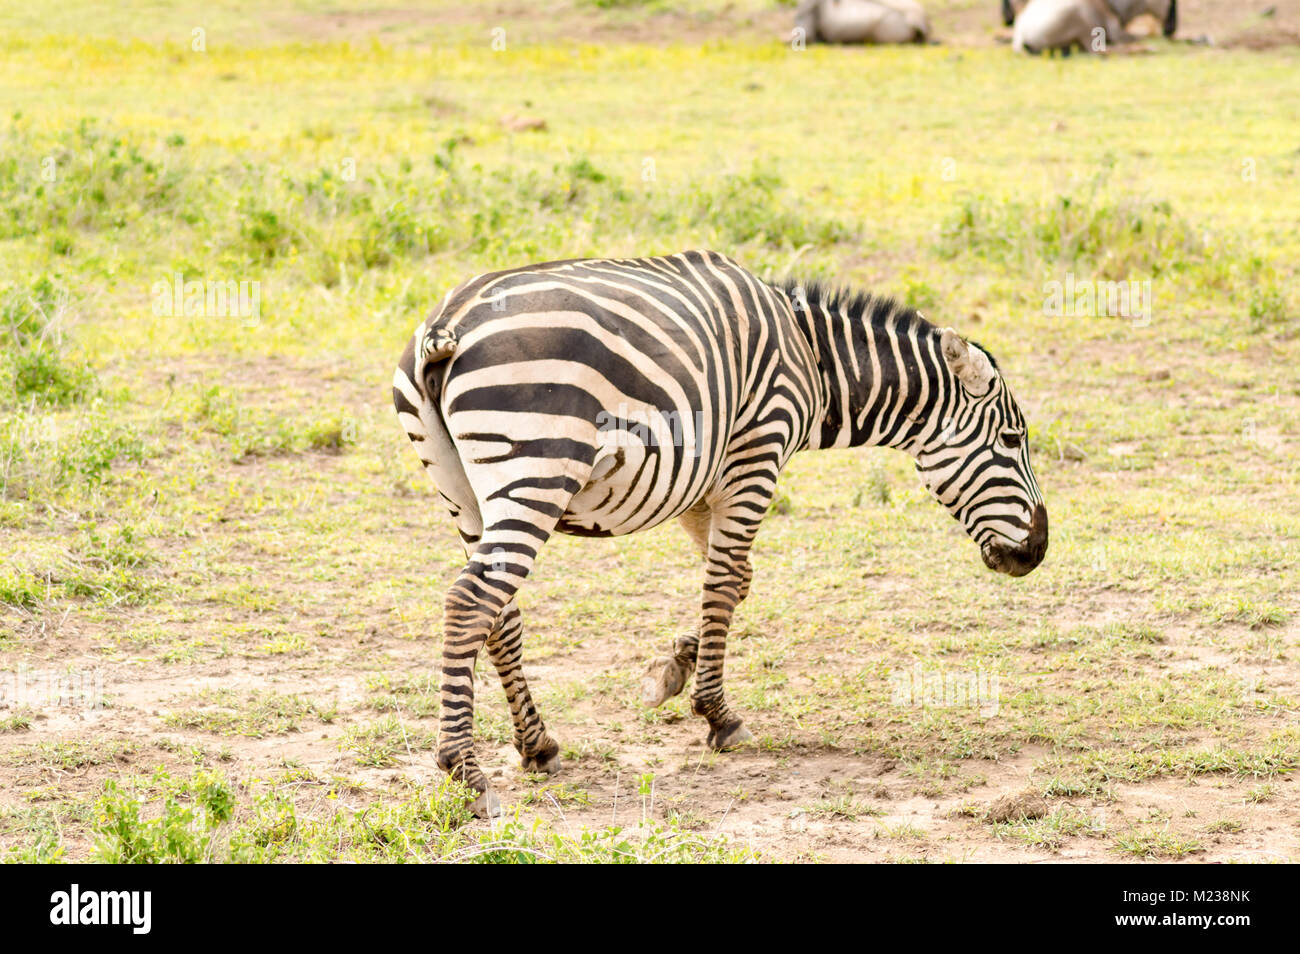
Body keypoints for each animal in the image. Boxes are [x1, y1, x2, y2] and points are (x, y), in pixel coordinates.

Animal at [392, 249, 1047, 816]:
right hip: (536, 470)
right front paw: (717, 714)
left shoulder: (701, 484)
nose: (1037, 553)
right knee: (471, 602)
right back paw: (466, 772)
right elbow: (727, 582)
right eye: (1013, 439)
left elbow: (732, 581)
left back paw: (537, 745)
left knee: (498, 614)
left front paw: (672, 668)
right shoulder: (756, 456)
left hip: (461, 490)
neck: (813, 360)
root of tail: (449, 322)